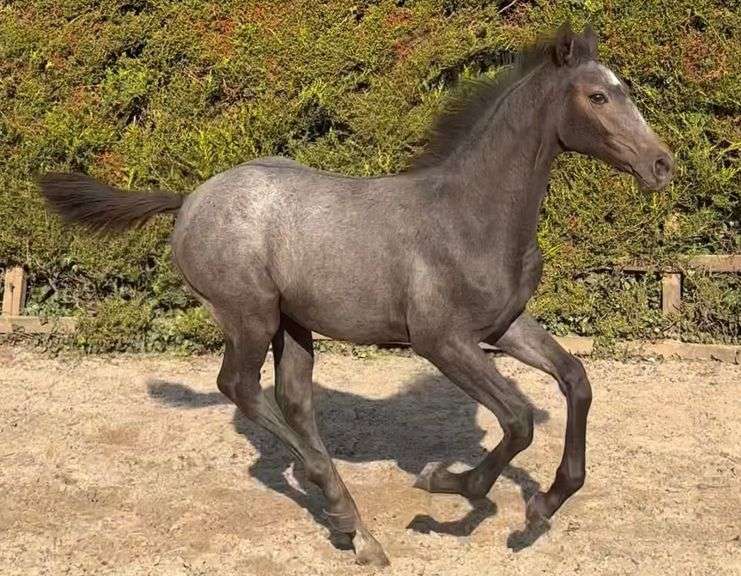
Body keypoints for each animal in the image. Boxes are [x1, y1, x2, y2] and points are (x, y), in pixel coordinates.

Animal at [40, 24, 673, 566]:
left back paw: (349, 522)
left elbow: (576, 381)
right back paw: (353, 520)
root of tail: (190, 199)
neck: (471, 214)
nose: (662, 164)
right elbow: (517, 419)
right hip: (249, 315)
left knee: (293, 400)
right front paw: (448, 483)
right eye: (598, 96)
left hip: (293, 324)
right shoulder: (441, 341)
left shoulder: (502, 326)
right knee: (239, 387)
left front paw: (543, 503)